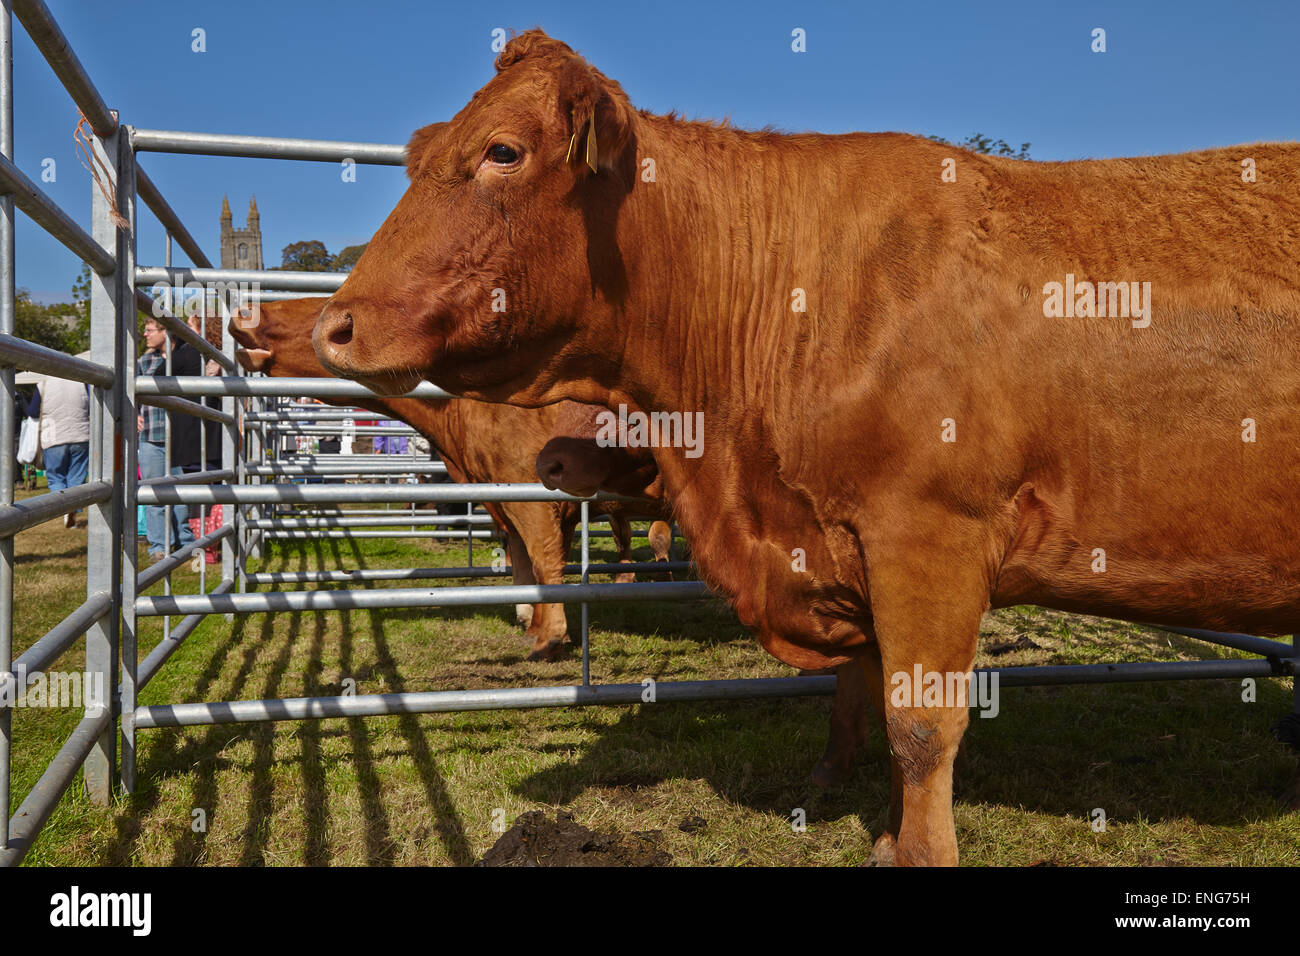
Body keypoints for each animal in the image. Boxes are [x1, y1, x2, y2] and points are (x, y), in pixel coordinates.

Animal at [229, 296, 673, 661]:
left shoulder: (532, 492)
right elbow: (521, 558)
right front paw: (529, 619)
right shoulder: (502, 495)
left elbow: (544, 557)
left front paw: (549, 637)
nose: (244, 313)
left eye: (321, 311)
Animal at [311, 31, 1300, 865]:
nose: (336, 325)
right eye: (421, 153)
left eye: (503, 151)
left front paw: (918, 850)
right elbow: (873, 693)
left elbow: (920, 723)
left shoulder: (928, 537)